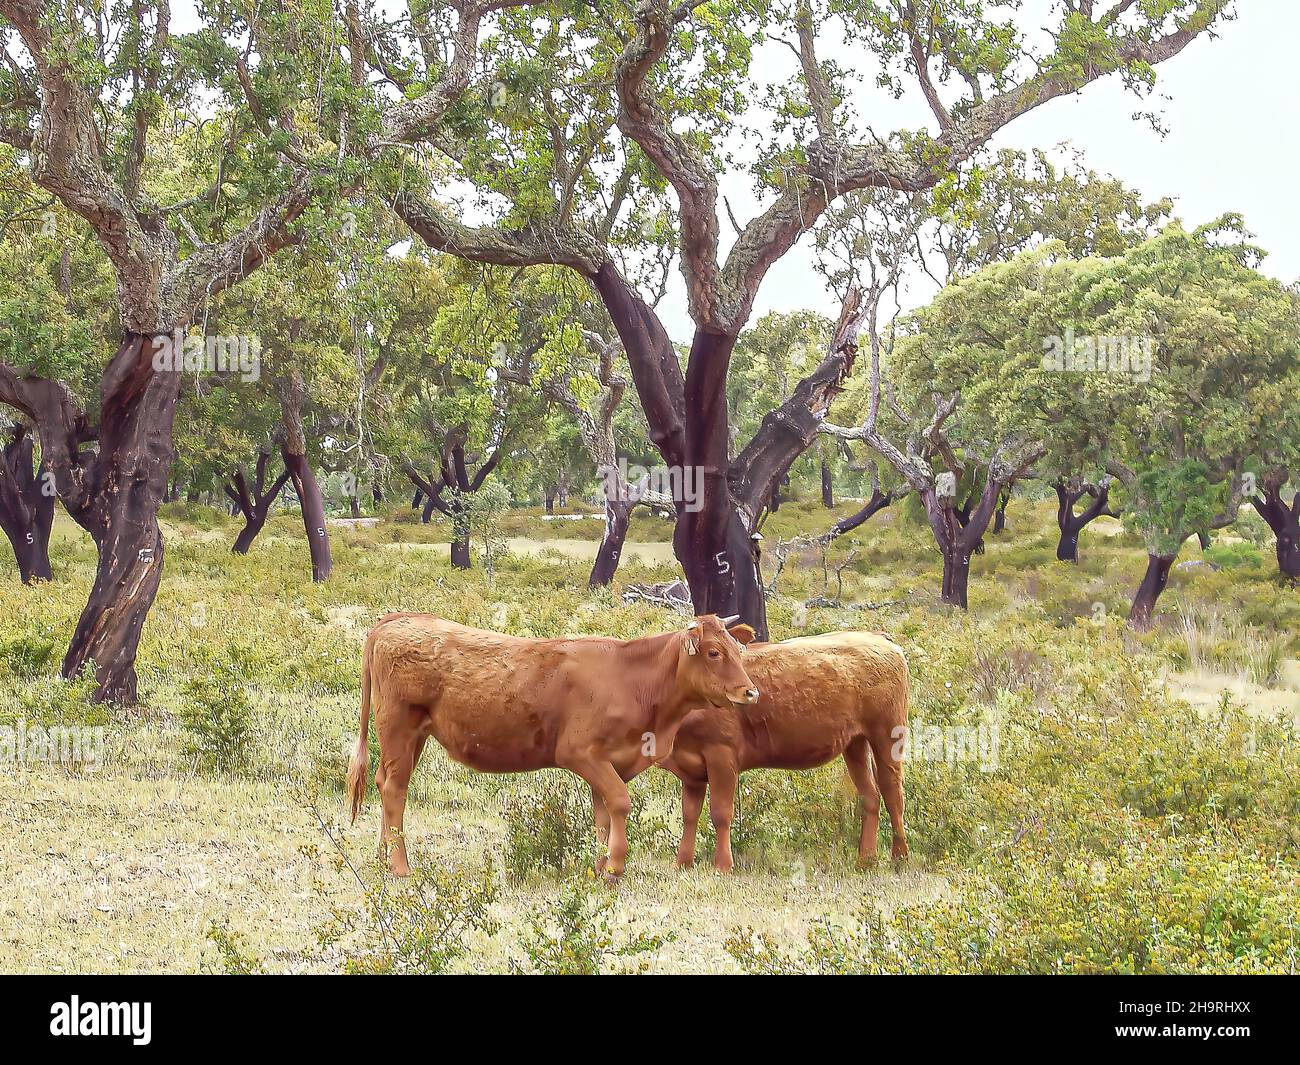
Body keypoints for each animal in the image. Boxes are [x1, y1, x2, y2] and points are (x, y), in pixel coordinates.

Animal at [347, 612, 759, 881]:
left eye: (738, 650)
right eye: (714, 653)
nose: (751, 692)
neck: (631, 679)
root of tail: (397, 619)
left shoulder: (608, 760)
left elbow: (603, 814)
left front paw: (599, 865)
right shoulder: (580, 752)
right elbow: (620, 802)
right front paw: (615, 866)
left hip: (413, 736)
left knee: (384, 783)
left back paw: (383, 858)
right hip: (399, 728)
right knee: (396, 790)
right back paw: (401, 866)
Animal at [659, 630, 909, 872]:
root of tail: (880, 639)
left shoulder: (722, 756)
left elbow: (721, 813)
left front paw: (722, 866)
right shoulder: (691, 769)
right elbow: (690, 815)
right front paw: (683, 864)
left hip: (887, 735)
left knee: (893, 793)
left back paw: (900, 857)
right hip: (855, 743)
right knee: (870, 796)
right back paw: (866, 861)